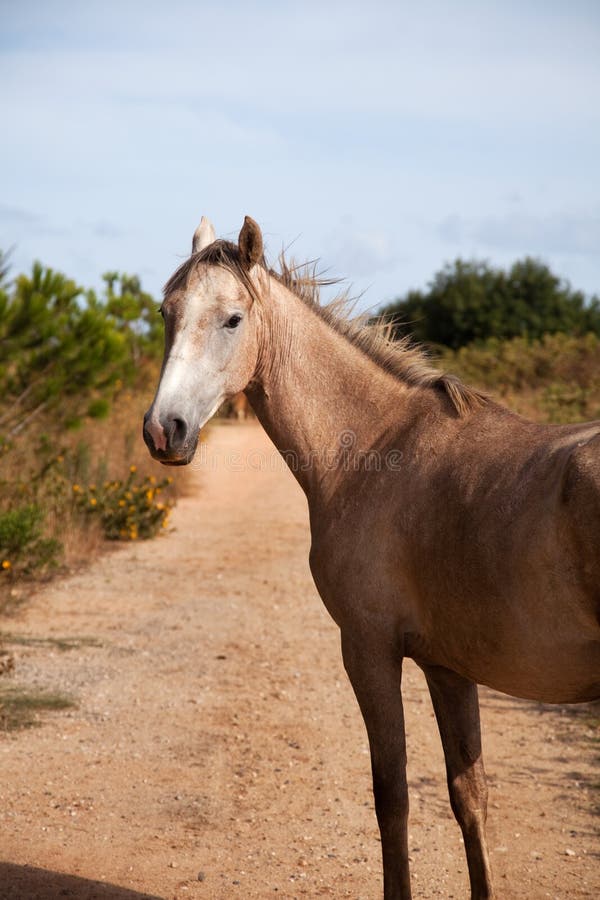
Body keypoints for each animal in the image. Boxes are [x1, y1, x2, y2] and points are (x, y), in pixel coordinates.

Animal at [143, 215, 600, 899]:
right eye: (167, 313)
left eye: (232, 319)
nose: (162, 430)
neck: (372, 448)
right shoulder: (449, 668)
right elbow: (470, 800)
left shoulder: (368, 650)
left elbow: (393, 798)